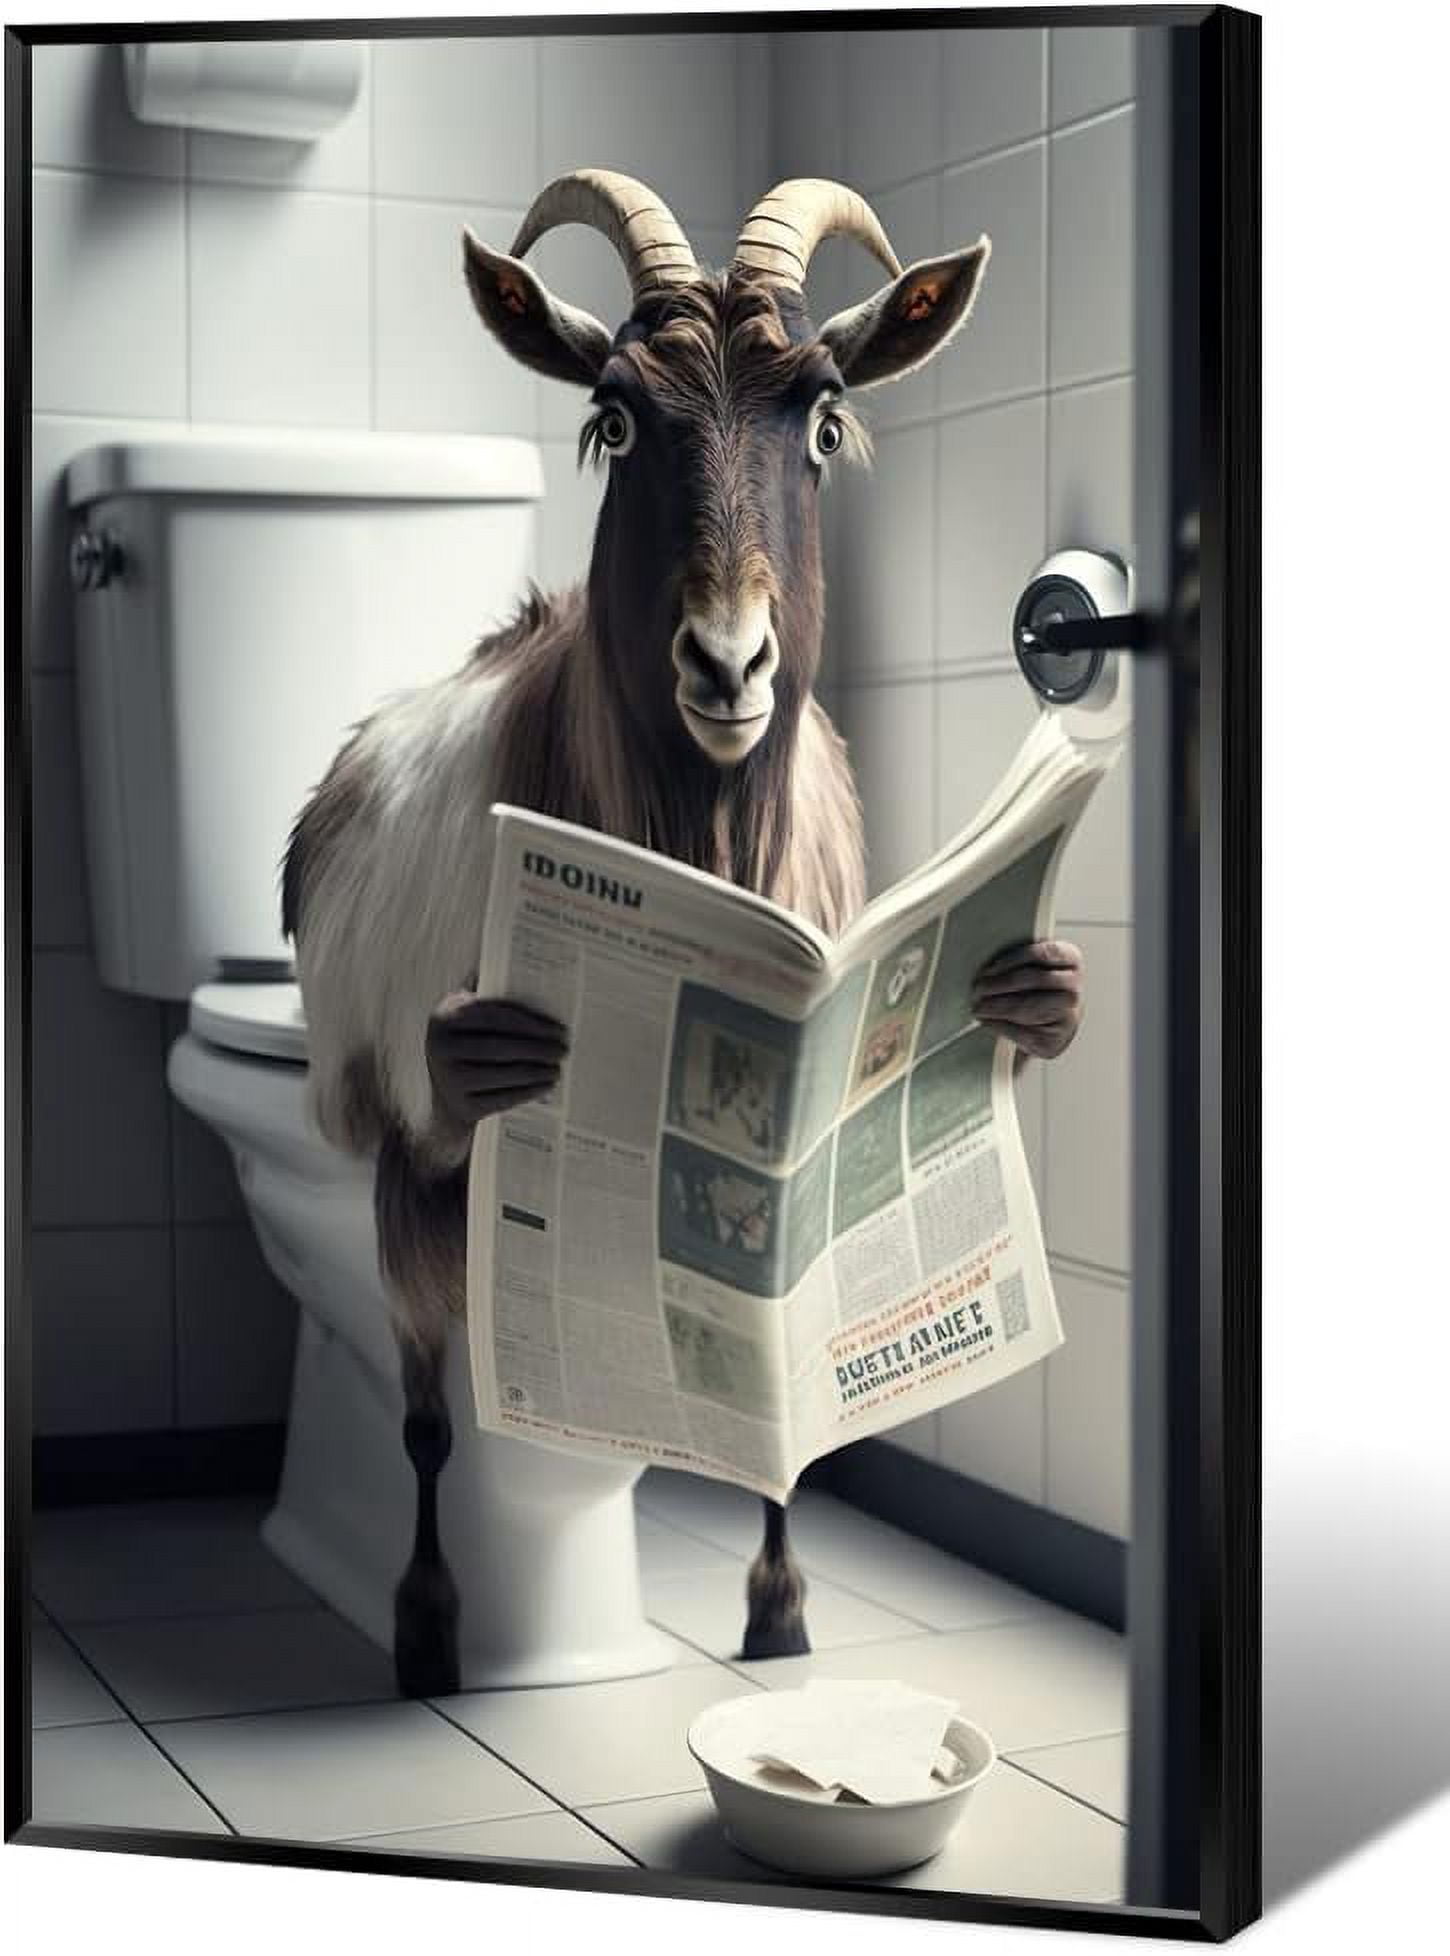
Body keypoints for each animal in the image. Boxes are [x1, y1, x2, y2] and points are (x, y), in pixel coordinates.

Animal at [283, 171, 1084, 1696]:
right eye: (613, 416)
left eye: (823, 416)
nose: (726, 664)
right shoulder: (410, 1147)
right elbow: (423, 1416)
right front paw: (424, 1630)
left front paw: (781, 1612)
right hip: (383, 1169)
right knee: (424, 1406)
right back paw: (426, 1620)